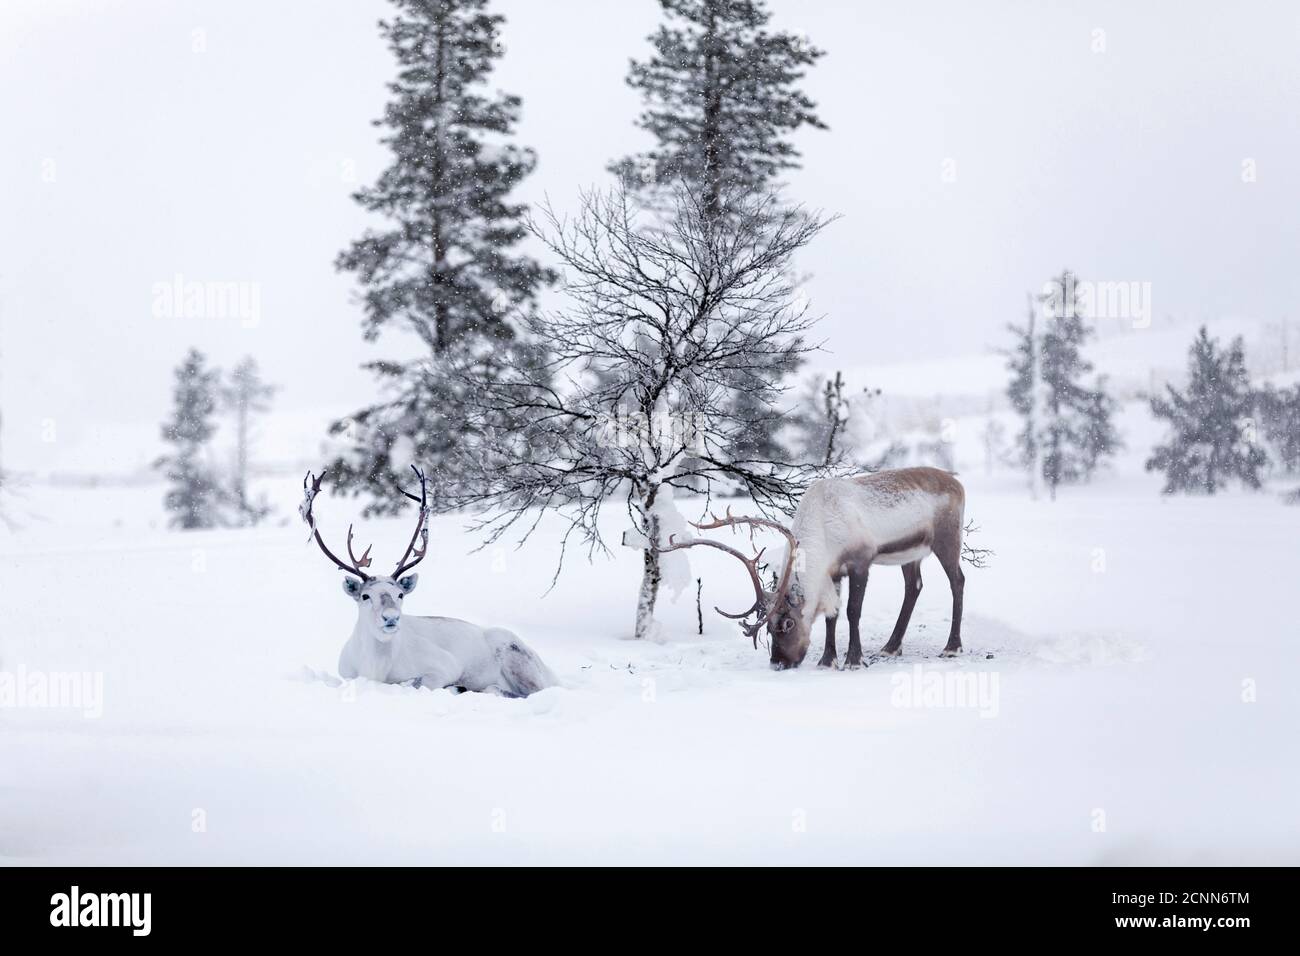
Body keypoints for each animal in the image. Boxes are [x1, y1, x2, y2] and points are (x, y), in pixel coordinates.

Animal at [300, 466, 558, 698]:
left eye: (400, 594)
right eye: (365, 596)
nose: (391, 618)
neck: (376, 669)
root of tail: (550, 672)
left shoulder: (444, 666)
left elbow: (416, 683)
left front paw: (451, 686)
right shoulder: (347, 674)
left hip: (516, 655)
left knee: (530, 692)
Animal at [661, 467, 967, 670]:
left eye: (788, 624)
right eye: (768, 629)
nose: (778, 663)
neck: (823, 527)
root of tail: (958, 484)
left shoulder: (860, 561)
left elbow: (852, 611)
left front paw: (853, 660)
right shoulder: (833, 573)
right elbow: (832, 614)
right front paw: (827, 660)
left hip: (947, 539)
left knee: (958, 581)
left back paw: (952, 647)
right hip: (911, 554)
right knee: (913, 586)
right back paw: (891, 648)